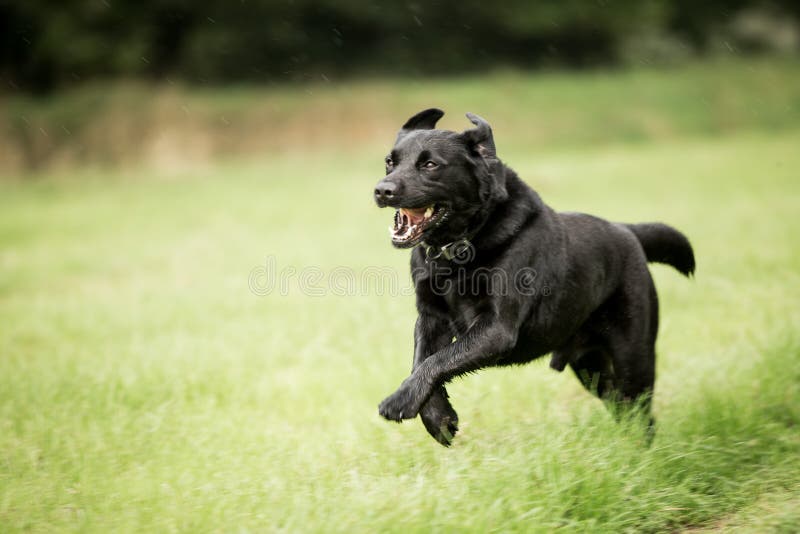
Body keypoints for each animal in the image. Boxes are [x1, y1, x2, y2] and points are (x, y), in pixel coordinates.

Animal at [372, 110, 692, 448]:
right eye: (390, 162)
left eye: (430, 164)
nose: (382, 190)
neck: (458, 249)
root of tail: (627, 231)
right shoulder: (430, 318)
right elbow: (422, 359)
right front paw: (438, 418)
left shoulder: (496, 329)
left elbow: (437, 361)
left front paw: (399, 401)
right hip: (592, 369)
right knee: (624, 407)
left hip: (633, 356)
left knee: (642, 412)